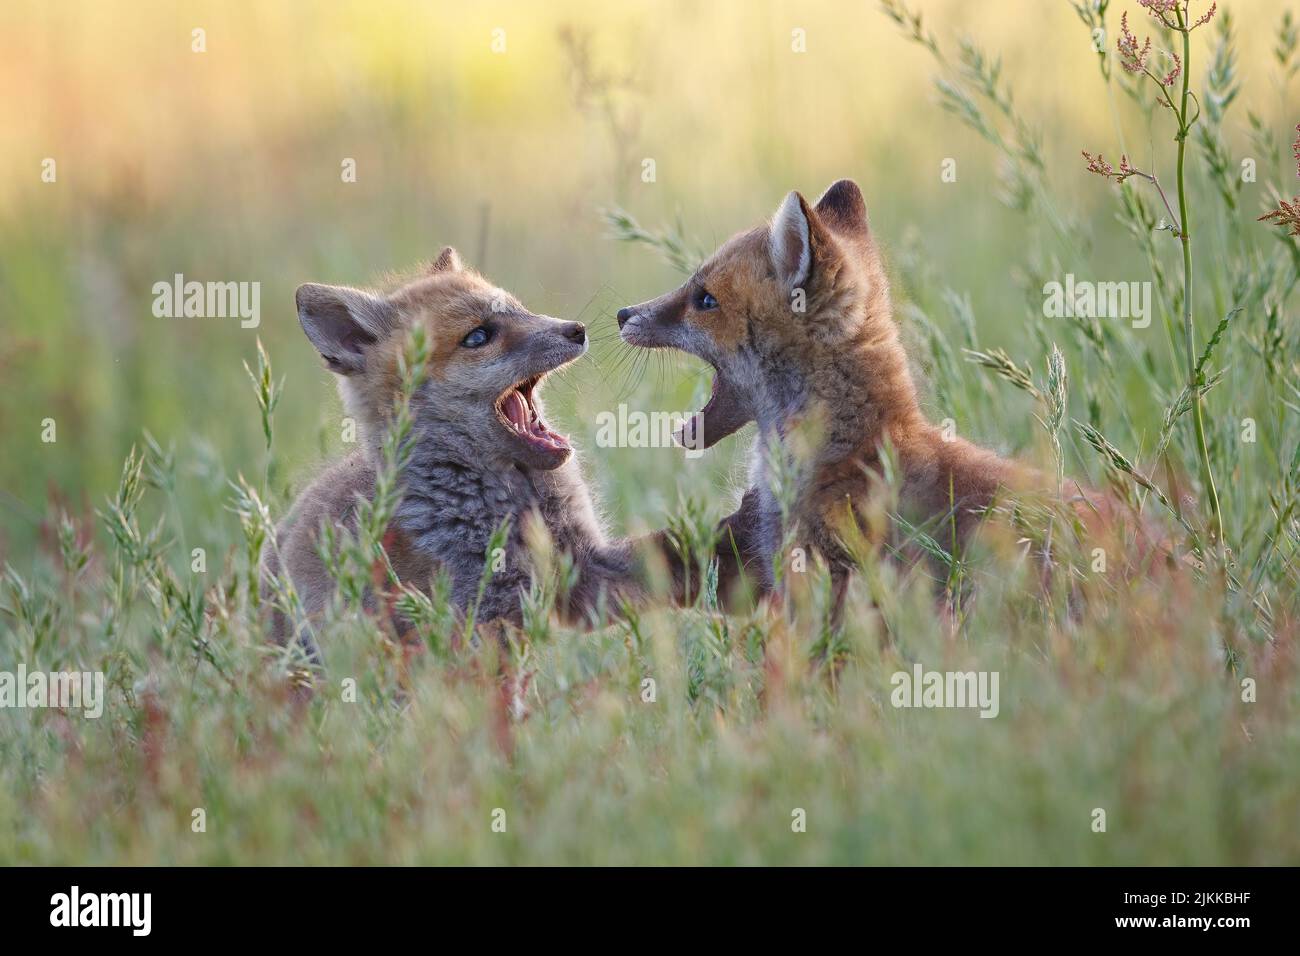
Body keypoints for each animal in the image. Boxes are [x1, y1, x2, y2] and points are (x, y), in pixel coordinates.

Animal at [261, 247, 637, 660]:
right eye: (479, 336)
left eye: (521, 309)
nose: (577, 329)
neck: (516, 502)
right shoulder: (486, 616)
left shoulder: (583, 569)